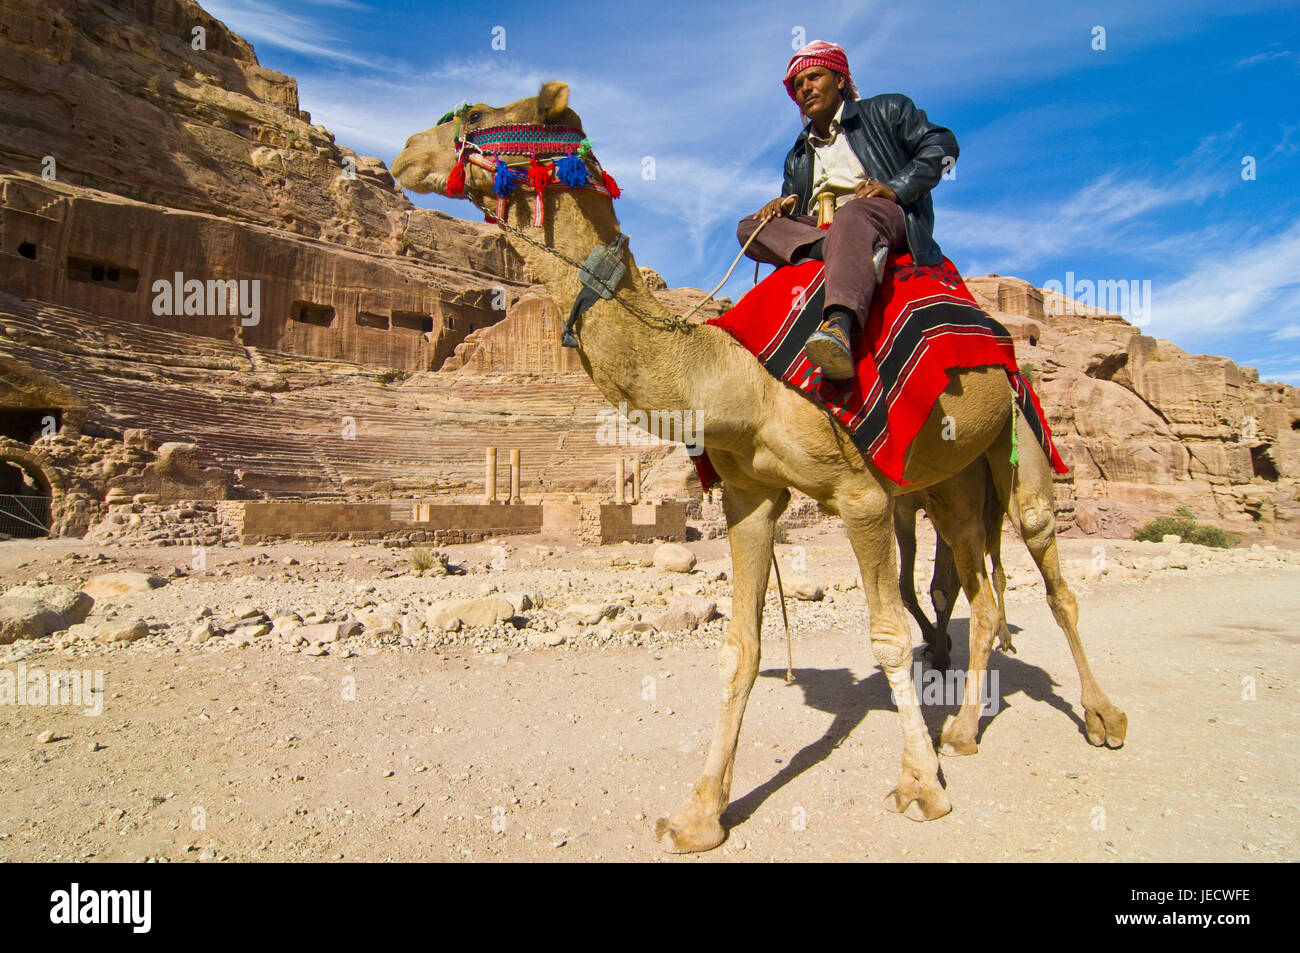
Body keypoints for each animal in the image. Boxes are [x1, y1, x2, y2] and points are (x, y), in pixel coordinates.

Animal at [393, 81, 1126, 852]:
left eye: (477, 114)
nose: (406, 149)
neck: (734, 380)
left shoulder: (861, 496)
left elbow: (888, 637)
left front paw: (920, 787)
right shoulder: (748, 497)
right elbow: (739, 646)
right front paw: (699, 813)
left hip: (1017, 431)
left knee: (1051, 576)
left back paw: (1101, 718)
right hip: (953, 481)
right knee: (979, 593)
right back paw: (961, 730)